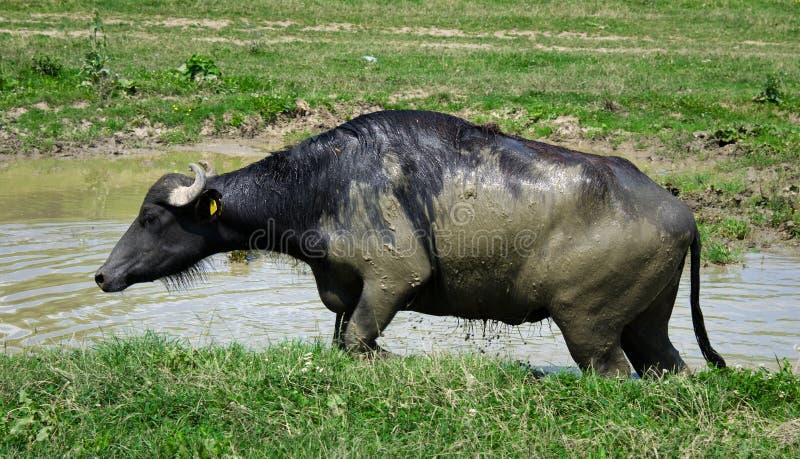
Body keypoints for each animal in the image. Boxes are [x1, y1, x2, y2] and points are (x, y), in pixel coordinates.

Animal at [96, 110, 725, 376]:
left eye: (151, 218)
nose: (103, 276)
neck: (324, 184)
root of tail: (682, 212)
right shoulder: (347, 291)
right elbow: (343, 341)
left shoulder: (394, 280)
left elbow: (359, 343)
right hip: (645, 324)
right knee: (669, 367)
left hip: (588, 327)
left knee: (612, 373)